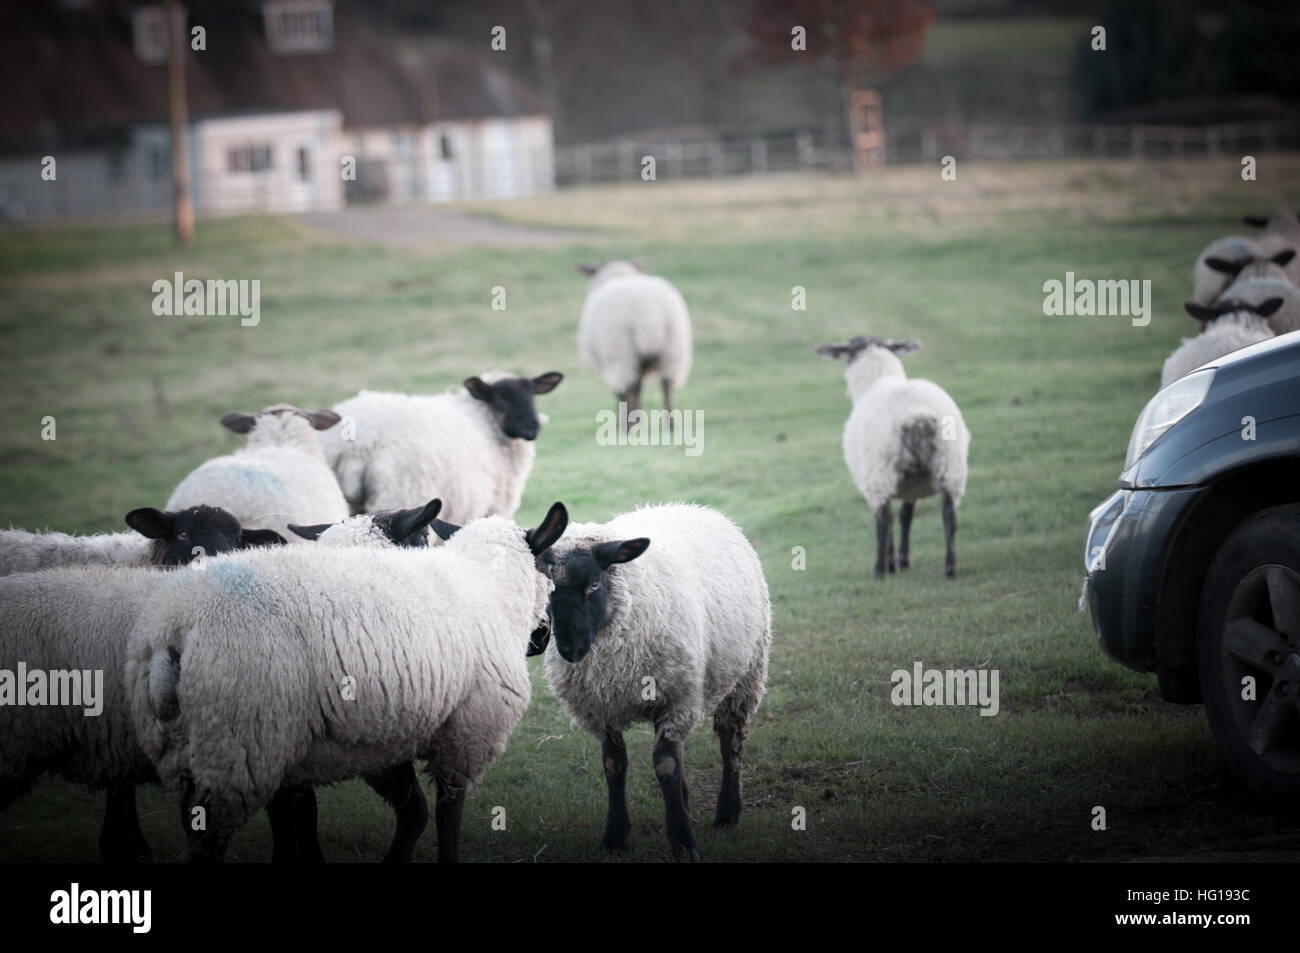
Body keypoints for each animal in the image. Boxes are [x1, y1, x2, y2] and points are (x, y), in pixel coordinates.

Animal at [125, 500, 570, 863]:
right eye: (549, 565)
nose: (542, 639)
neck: (489, 588)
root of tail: (174, 632)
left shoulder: (381, 736)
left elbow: (409, 811)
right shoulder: (469, 728)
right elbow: (447, 814)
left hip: (186, 749)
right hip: (240, 743)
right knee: (209, 841)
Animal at [319, 372, 563, 524]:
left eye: (533, 395)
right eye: (501, 397)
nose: (532, 426)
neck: (484, 419)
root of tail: (356, 444)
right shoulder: (493, 508)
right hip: (402, 497)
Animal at [530, 502, 771, 860]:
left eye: (594, 585)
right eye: (546, 589)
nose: (571, 649)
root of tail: (689, 506)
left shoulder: (676, 698)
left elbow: (666, 766)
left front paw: (683, 843)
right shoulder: (601, 709)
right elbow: (614, 766)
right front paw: (615, 839)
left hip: (745, 674)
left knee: (731, 742)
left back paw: (727, 814)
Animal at [577, 260, 693, 421]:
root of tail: (649, 313)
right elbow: (638, 395)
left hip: (621, 356)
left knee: (623, 394)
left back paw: (625, 424)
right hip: (673, 352)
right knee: (667, 392)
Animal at [817, 336, 971, 579]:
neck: (877, 380)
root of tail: (918, 416)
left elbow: (889, 521)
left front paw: (892, 564)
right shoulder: (913, 485)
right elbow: (906, 517)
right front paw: (903, 560)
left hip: (880, 472)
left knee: (883, 521)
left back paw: (880, 570)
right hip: (951, 467)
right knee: (949, 516)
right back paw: (950, 567)